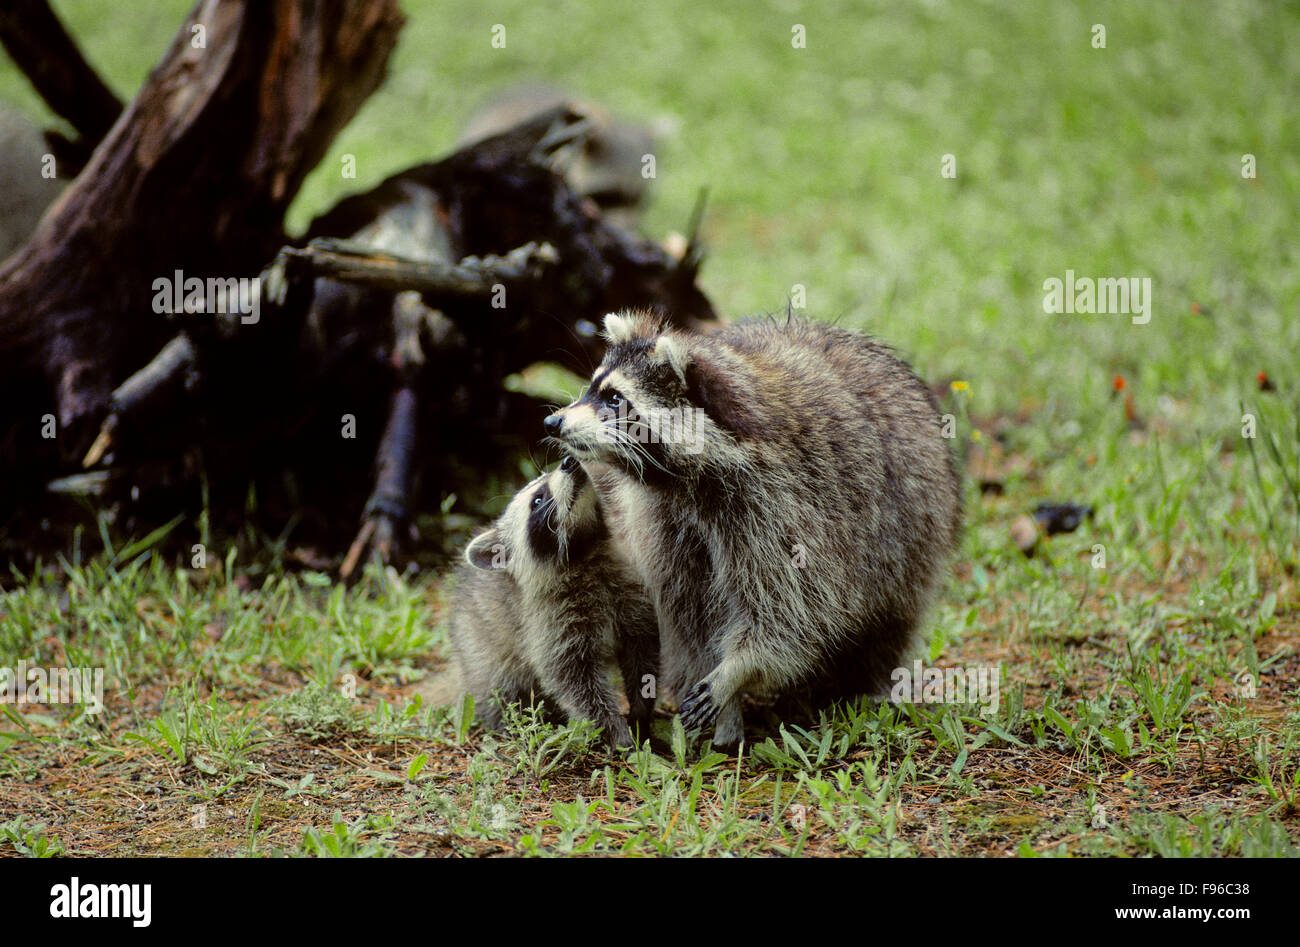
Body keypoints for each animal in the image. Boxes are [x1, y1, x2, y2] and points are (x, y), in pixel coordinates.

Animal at [449, 455, 659, 749]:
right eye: (537, 499)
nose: (569, 462)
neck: (583, 551)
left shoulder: (627, 589)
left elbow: (642, 648)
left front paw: (640, 711)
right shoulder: (547, 620)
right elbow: (574, 681)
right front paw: (612, 728)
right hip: (478, 641)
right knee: (495, 686)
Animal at [544, 311, 961, 750]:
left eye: (615, 398)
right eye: (593, 387)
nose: (552, 421)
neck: (687, 479)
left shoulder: (788, 502)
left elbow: (794, 607)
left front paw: (738, 670)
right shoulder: (665, 518)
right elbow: (687, 609)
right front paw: (727, 706)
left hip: (914, 526)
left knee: (890, 619)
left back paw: (860, 686)